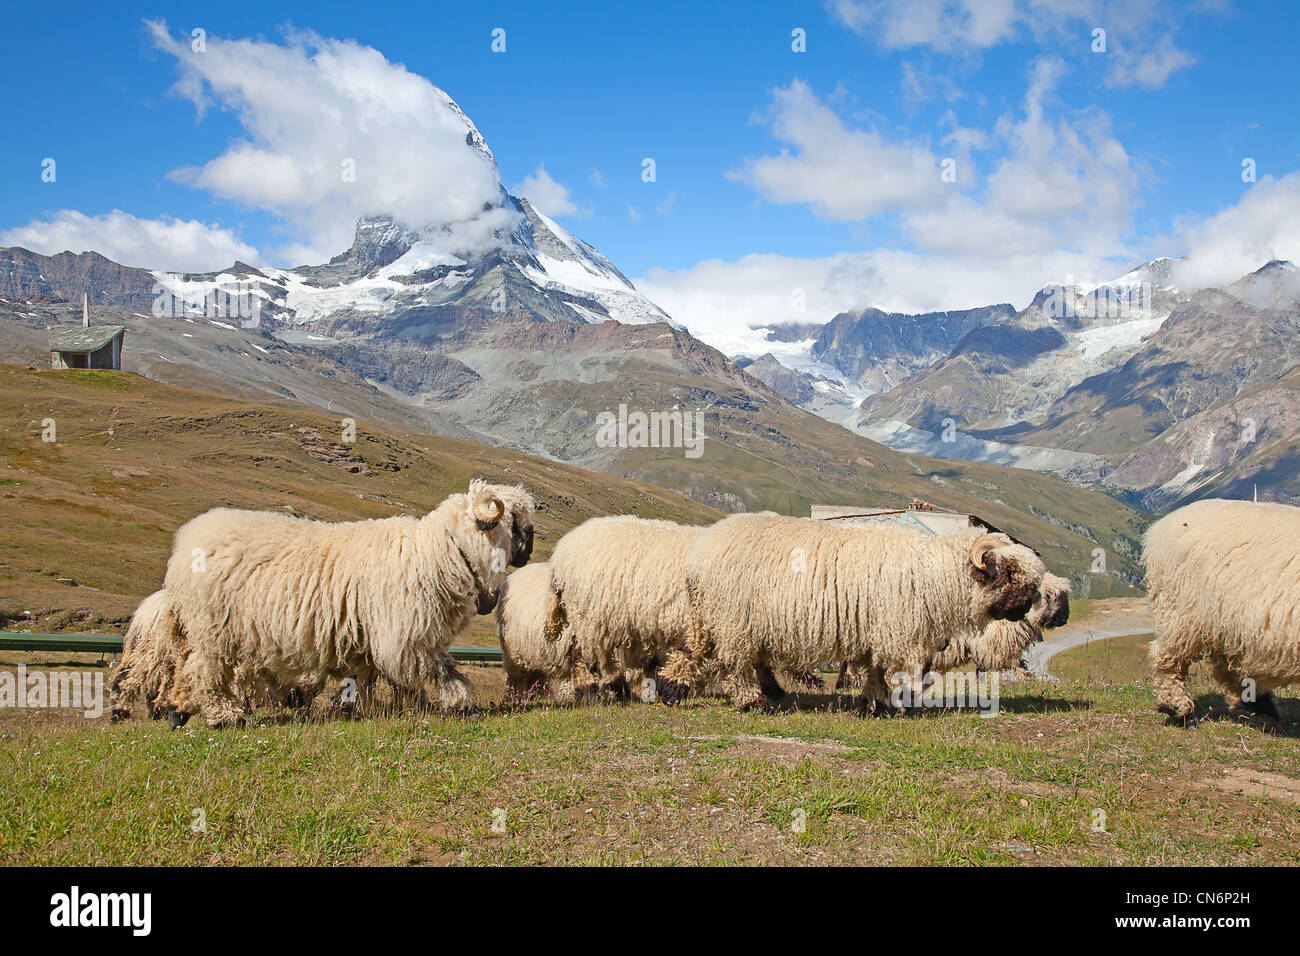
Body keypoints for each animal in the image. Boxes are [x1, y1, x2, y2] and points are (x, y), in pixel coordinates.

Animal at [166, 479, 534, 727]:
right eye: (515, 521)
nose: (530, 548)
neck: (441, 552)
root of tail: (185, 542)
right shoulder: (404, 635)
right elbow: (441, 670)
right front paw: (462, 706)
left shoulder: (370, 638)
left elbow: (368, 677)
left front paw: (352, 707)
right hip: (214, 629)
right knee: (204, 671)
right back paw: (221, 716)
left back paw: (178, 711)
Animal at [677, 513, 1046, 712]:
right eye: (1010, 572)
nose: (1028, 604)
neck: (933, 572)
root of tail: (698, 552)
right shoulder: (893, 628)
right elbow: (884, 671)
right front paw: (884, 705)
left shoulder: (878, 631)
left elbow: (875, 671)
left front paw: (875, 705)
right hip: (734, 620)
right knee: (736, 664)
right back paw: (752, 701)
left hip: (727, 620)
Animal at [1145, 498, 1300, 724]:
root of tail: (1161, 526)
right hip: (1183, 611)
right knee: (1168, 659)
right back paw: (1179, 710)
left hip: (1226, 624)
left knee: (1227, 666)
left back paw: (1259, 704)